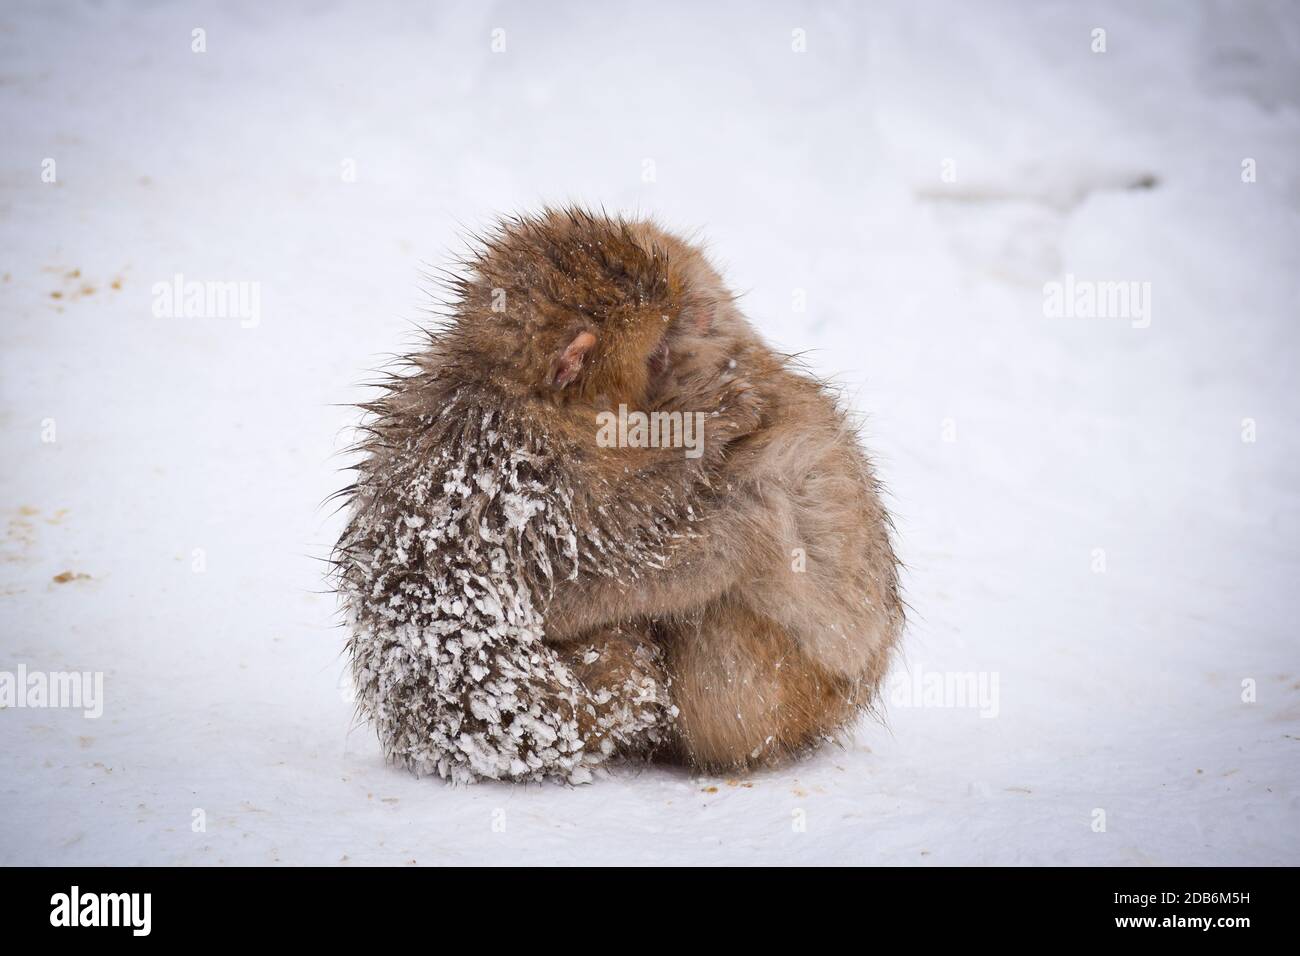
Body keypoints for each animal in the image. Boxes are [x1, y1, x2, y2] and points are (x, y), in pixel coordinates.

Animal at [334, 207, 902, 782]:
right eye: (656, 351)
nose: (692, 328)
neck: (514, 386)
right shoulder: (548, 470)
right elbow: (605, 547)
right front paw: (706, 427)